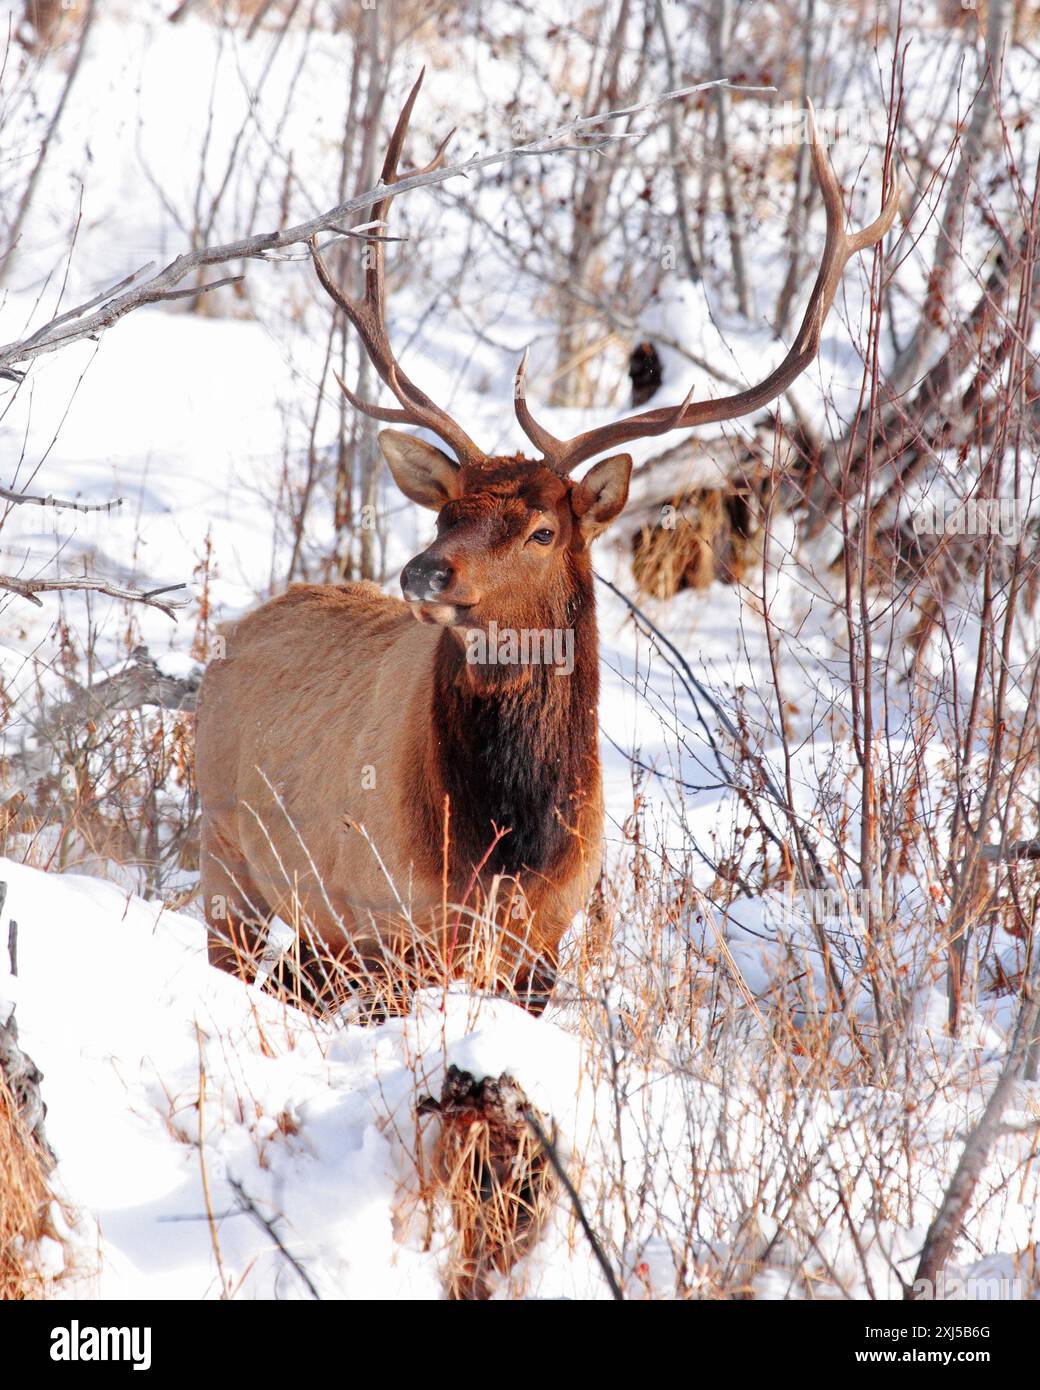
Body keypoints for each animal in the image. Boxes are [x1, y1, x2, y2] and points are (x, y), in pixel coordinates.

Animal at [195, 73, 898, 1014]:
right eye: (444, 512)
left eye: (541, 529)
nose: (426, 571)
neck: (503, 854)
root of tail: (233, 635)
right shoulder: (388, 927)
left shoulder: (543, 947)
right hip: (228, 866)